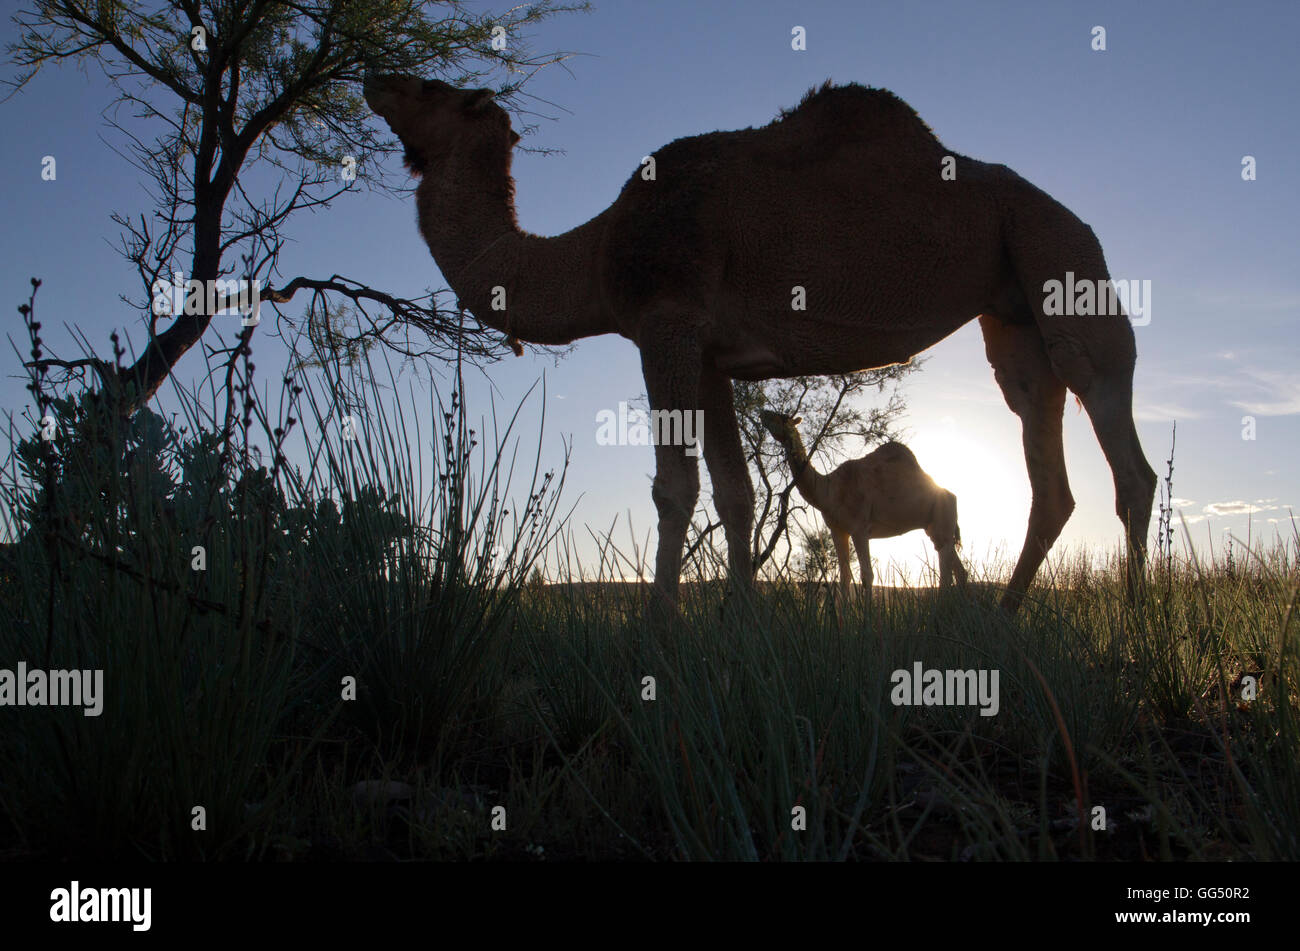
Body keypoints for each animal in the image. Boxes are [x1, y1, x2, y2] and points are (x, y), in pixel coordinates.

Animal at [760, 411, 967, 603]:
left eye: (782, 417)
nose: (763, 413)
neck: (828, 490)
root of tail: (951, 495)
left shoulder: (859, 528)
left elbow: (867, 576)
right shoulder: (838, 530)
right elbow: (844, 578)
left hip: (943, 518)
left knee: (946, 570)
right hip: (933, 528)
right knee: (959, 569)